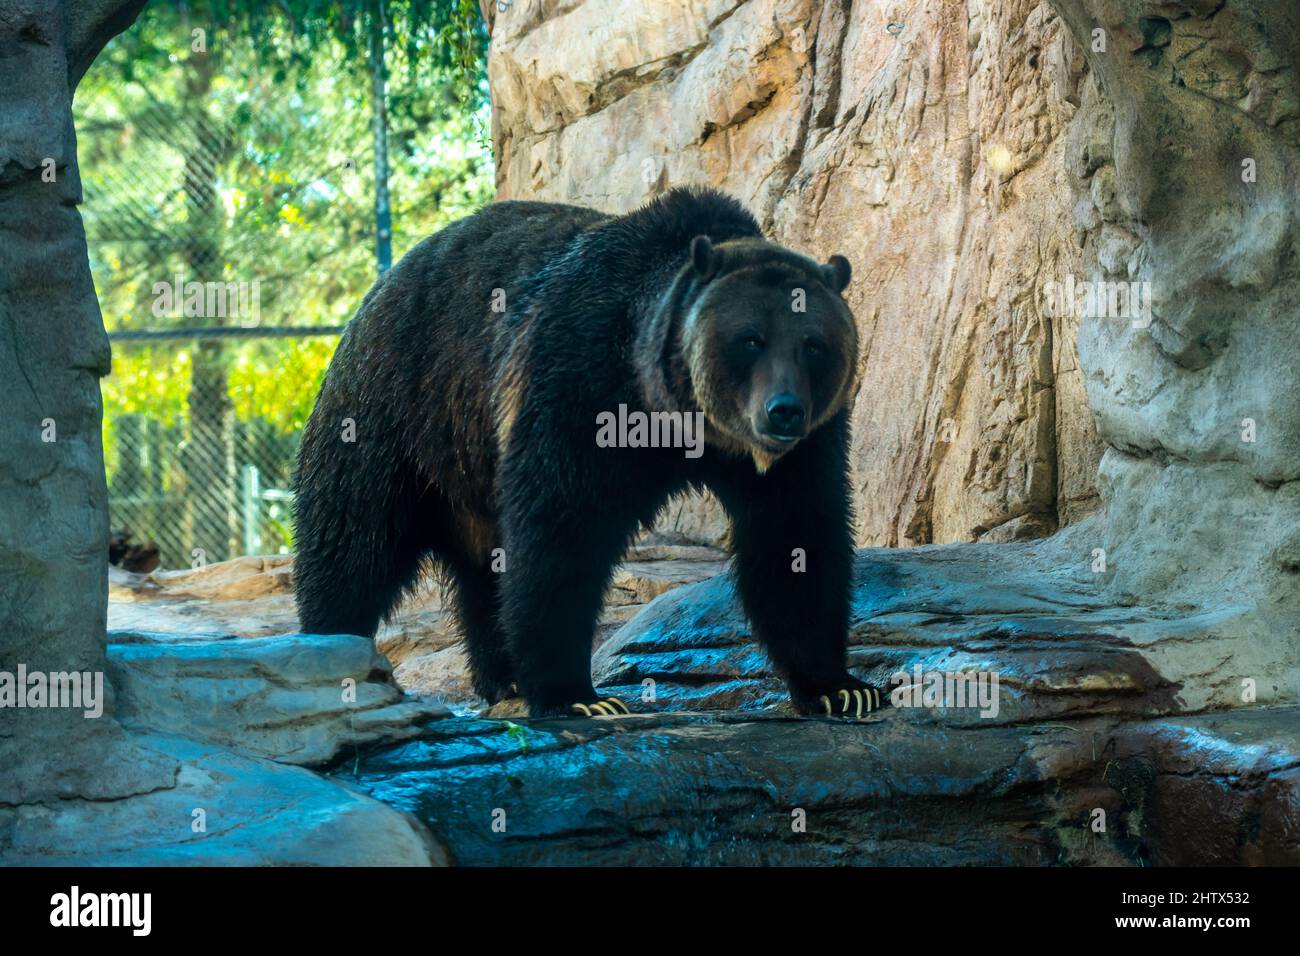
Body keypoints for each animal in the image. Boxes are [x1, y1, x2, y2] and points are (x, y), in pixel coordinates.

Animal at [294, 186, 882, 719]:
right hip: (402, 411)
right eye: (751, 339)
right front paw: (577, 695)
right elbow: (561, 533)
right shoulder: (579, 383)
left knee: (481, 569)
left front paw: (839, 686)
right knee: (354, 539)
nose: (783, 412)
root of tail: (381, 287)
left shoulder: (804, 450)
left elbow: (796, 537)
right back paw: (334, 653)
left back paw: (502, 677)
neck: (671, 408)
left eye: (814, 345)